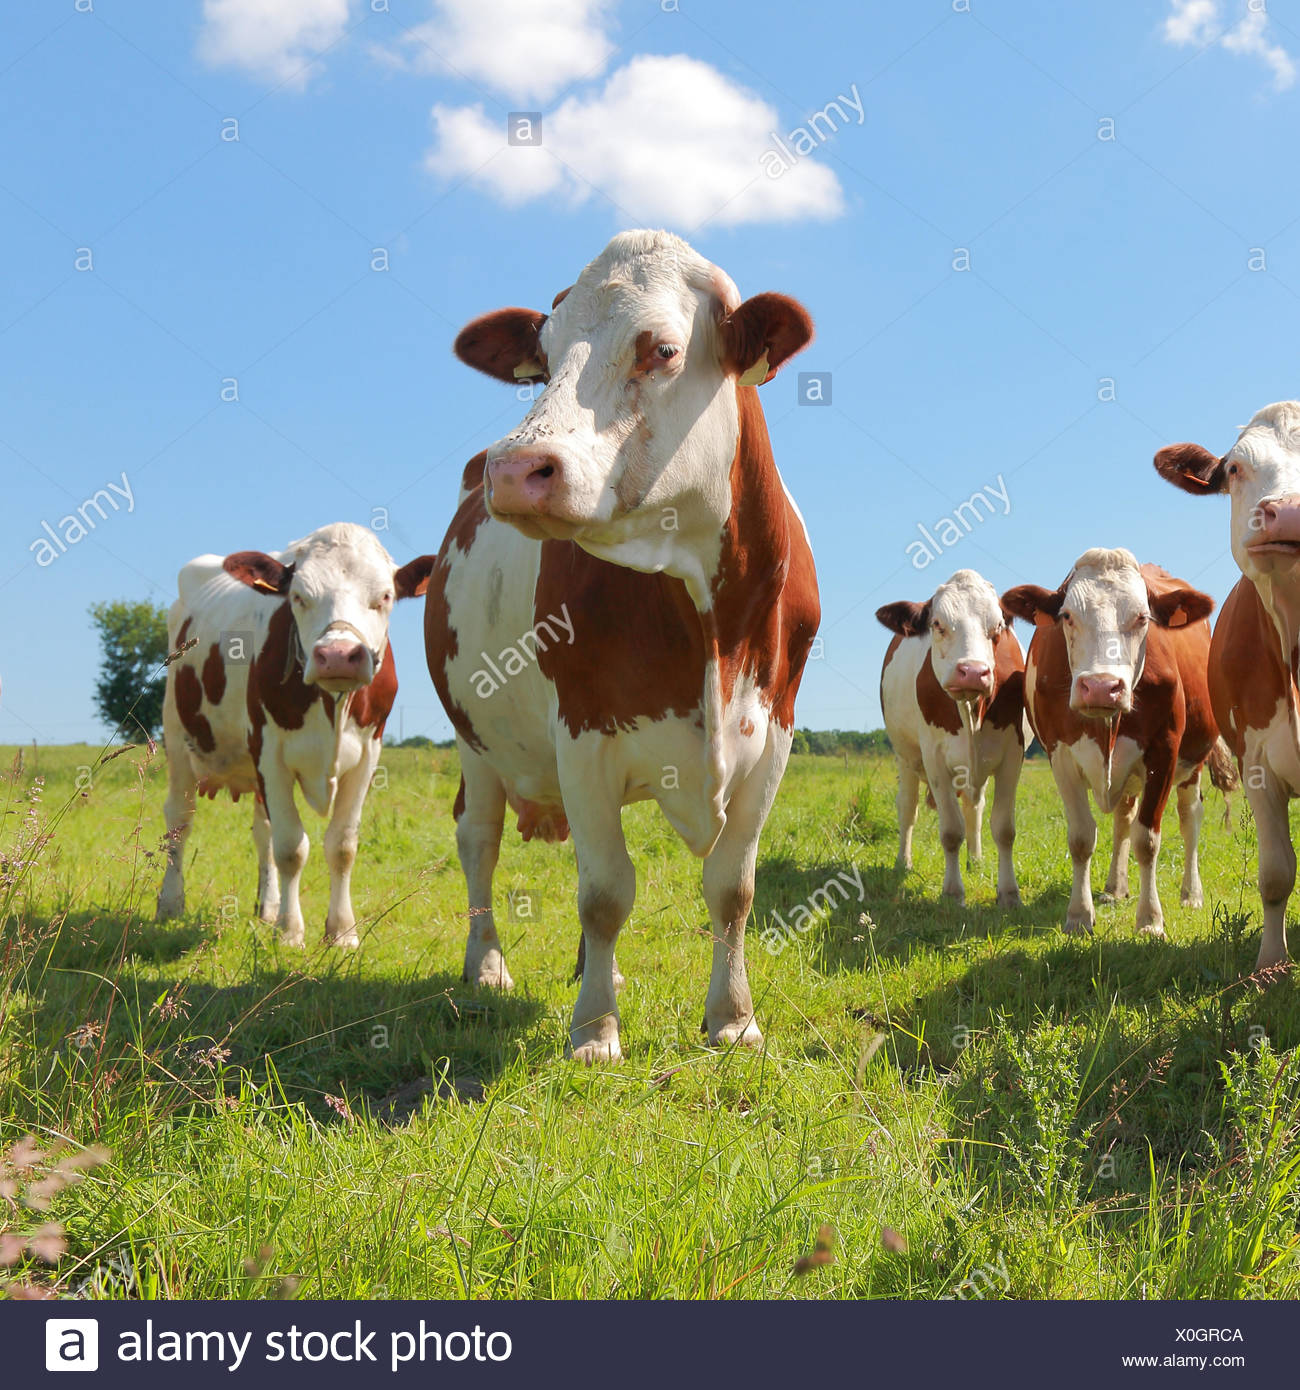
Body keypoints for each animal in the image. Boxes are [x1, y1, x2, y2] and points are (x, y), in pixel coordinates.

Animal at [155, 523, 434, 946]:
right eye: (299, 597)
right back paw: (170, 904)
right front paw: (290, 931)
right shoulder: (270, 752)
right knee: (179, 820)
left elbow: (342, 845)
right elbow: (291, 847)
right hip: (177, 737)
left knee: (262, 831)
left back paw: (267, 907)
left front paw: (341, 931)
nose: (338, 656)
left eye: (384, 597)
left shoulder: (368, 755)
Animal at [425, 229, 820, 1062]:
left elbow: (732, 889)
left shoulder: (776, 733)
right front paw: (594, 1030)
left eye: (661, 349)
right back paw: (489, 966)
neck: (710, 624)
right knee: (479, 840)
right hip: (475, 741)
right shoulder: (582, 731)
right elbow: (605, 893)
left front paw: (732, 1017)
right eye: (540, 361)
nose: (516, 468)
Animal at [876, 569, 1028, 907]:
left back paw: (976, 859)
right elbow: (949, 830)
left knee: (974, 807)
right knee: (907, 807)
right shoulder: (934, 758)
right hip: (905, 755)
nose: (972, 671)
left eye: (998, 626)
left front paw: (1009, 892)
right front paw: (953, 891)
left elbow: (1004, 828)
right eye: (937, 624)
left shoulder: (1012, 754)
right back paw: (903, 862)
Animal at [1002, 548, 1235, 938]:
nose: (1101, 687)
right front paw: (1079, 915)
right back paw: (1115, 887)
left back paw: (1191, 893)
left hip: (1193, 761)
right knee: (1124, 816)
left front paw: (1151, 919)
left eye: (1142, 618)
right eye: (1067, 616)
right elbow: (1082, 837)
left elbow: (1148, 840)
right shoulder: (1059, 753)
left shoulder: (1164, 752)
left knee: (1189, 816)